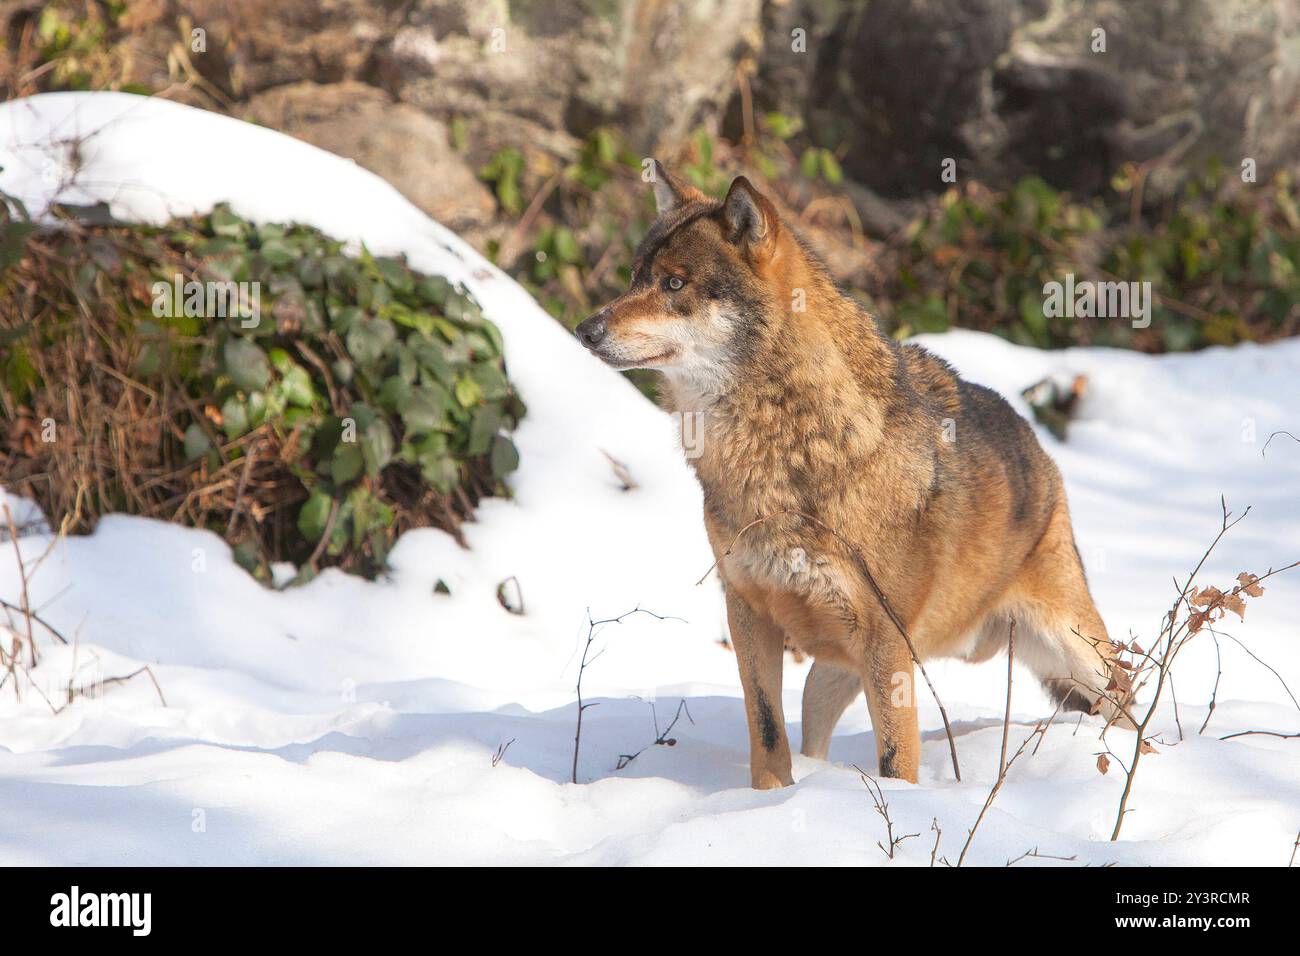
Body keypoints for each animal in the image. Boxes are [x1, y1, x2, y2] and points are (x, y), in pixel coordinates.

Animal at [576, 163, 1129, 787]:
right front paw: (769, 799)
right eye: (633, 278)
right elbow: (767, 732)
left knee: (1129, 707)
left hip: (1080, 659)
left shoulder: (889, 641)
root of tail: (1038, 443)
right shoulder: (747, 614)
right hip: (832, 672)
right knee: (813, 729)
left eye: (674, 284)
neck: (780, 446)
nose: (584, 329)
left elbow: (896, 758)